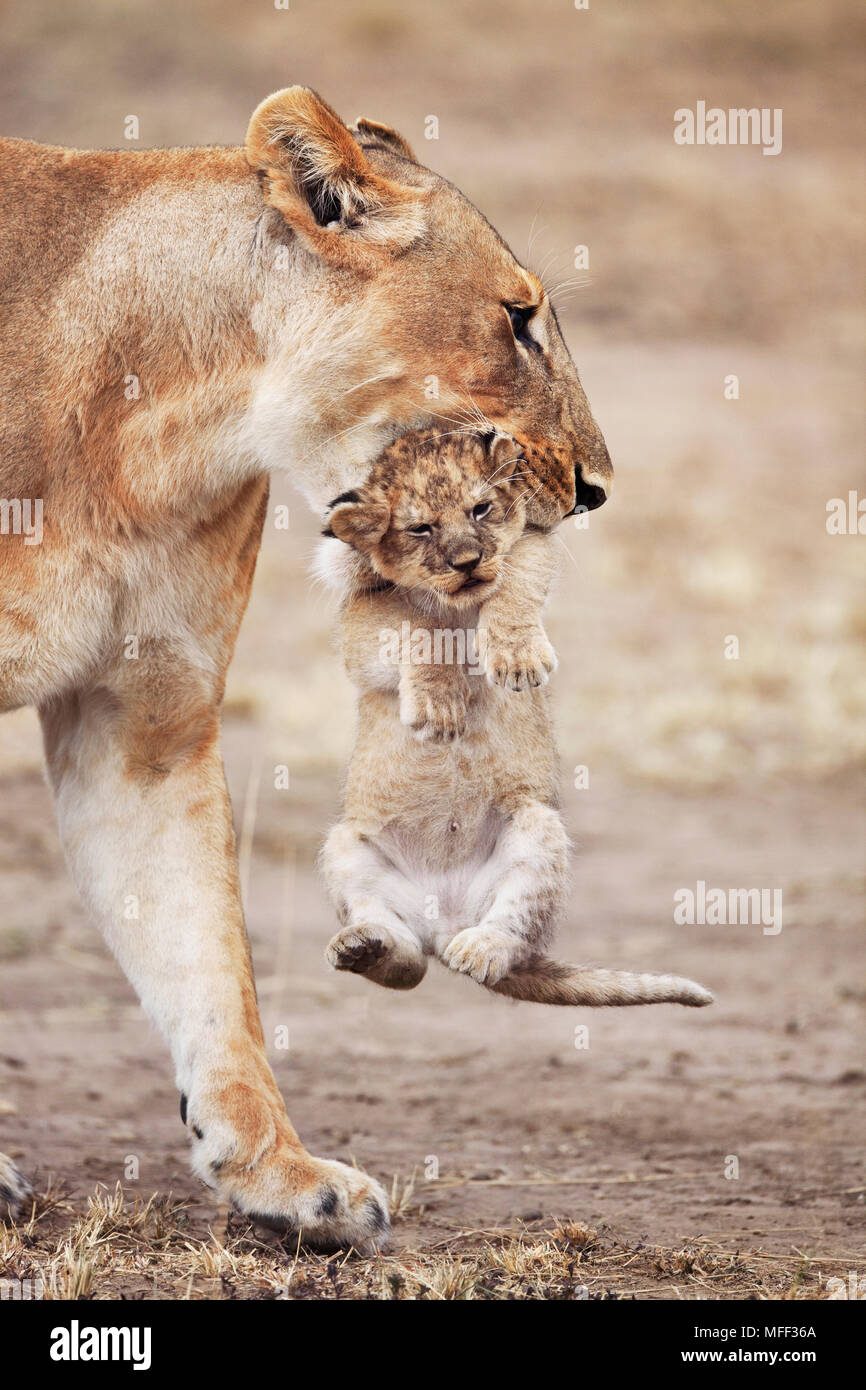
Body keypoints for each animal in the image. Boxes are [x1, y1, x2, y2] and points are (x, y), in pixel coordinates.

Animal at [0, 87, 612, 1250]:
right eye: (516, 319)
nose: (597, 486)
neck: (162, 426)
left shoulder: (141, 725)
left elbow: (206, 960)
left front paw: (278, 1173)